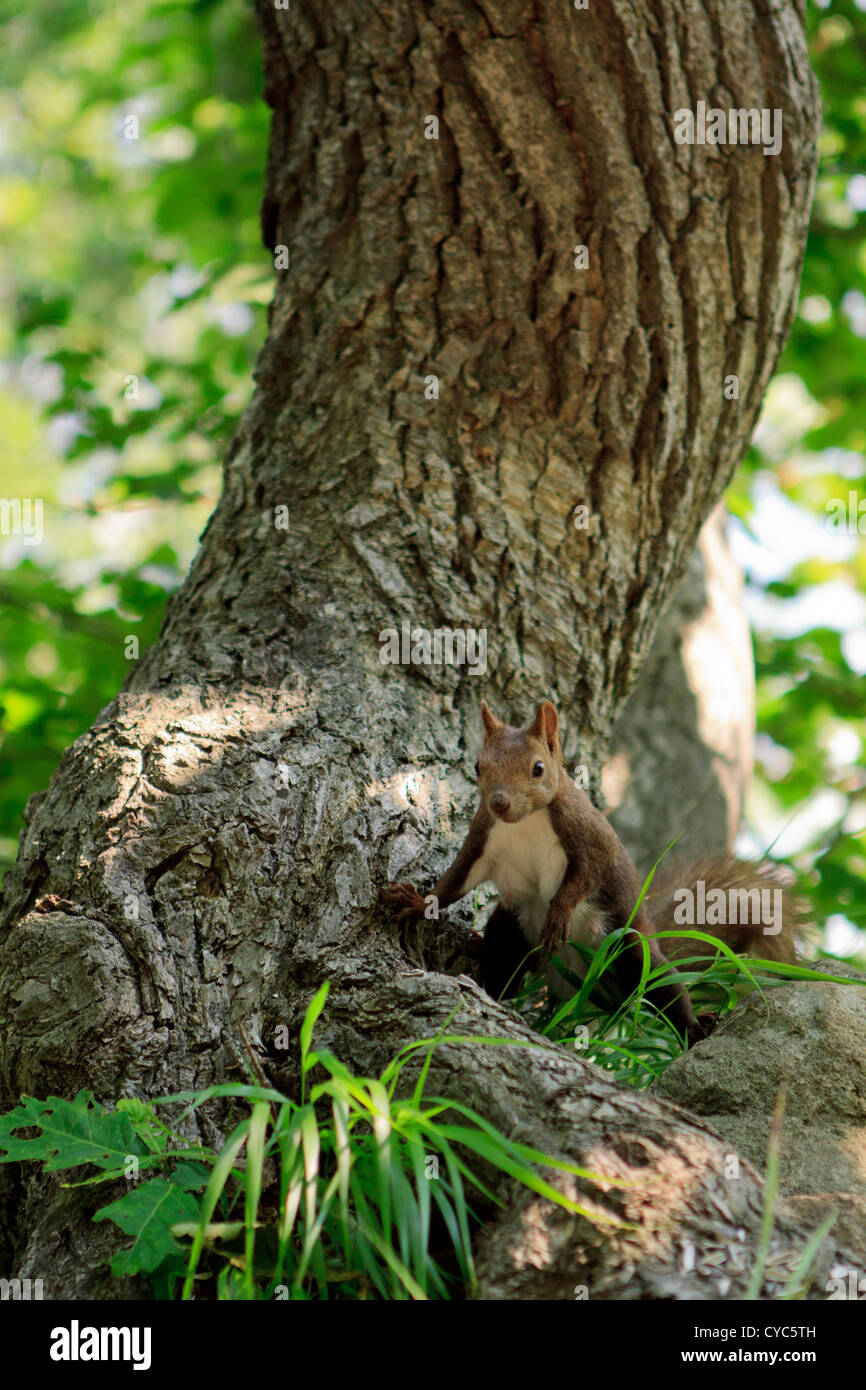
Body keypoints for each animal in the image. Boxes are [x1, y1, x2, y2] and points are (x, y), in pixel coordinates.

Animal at [381, 700, 802, 1047]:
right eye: (478, 766)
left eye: (538, 768)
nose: (499, 803)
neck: (525, 821)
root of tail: (578, 983)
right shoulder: (482, 839)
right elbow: (455, 881)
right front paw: (415, 903)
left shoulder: (587, 840)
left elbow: (583, 880)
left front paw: (559, 914)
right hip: (513, 925)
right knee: (505, 965)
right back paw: (485, 968)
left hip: (629, 944)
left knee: (661, 986)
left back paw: (694, 1027)